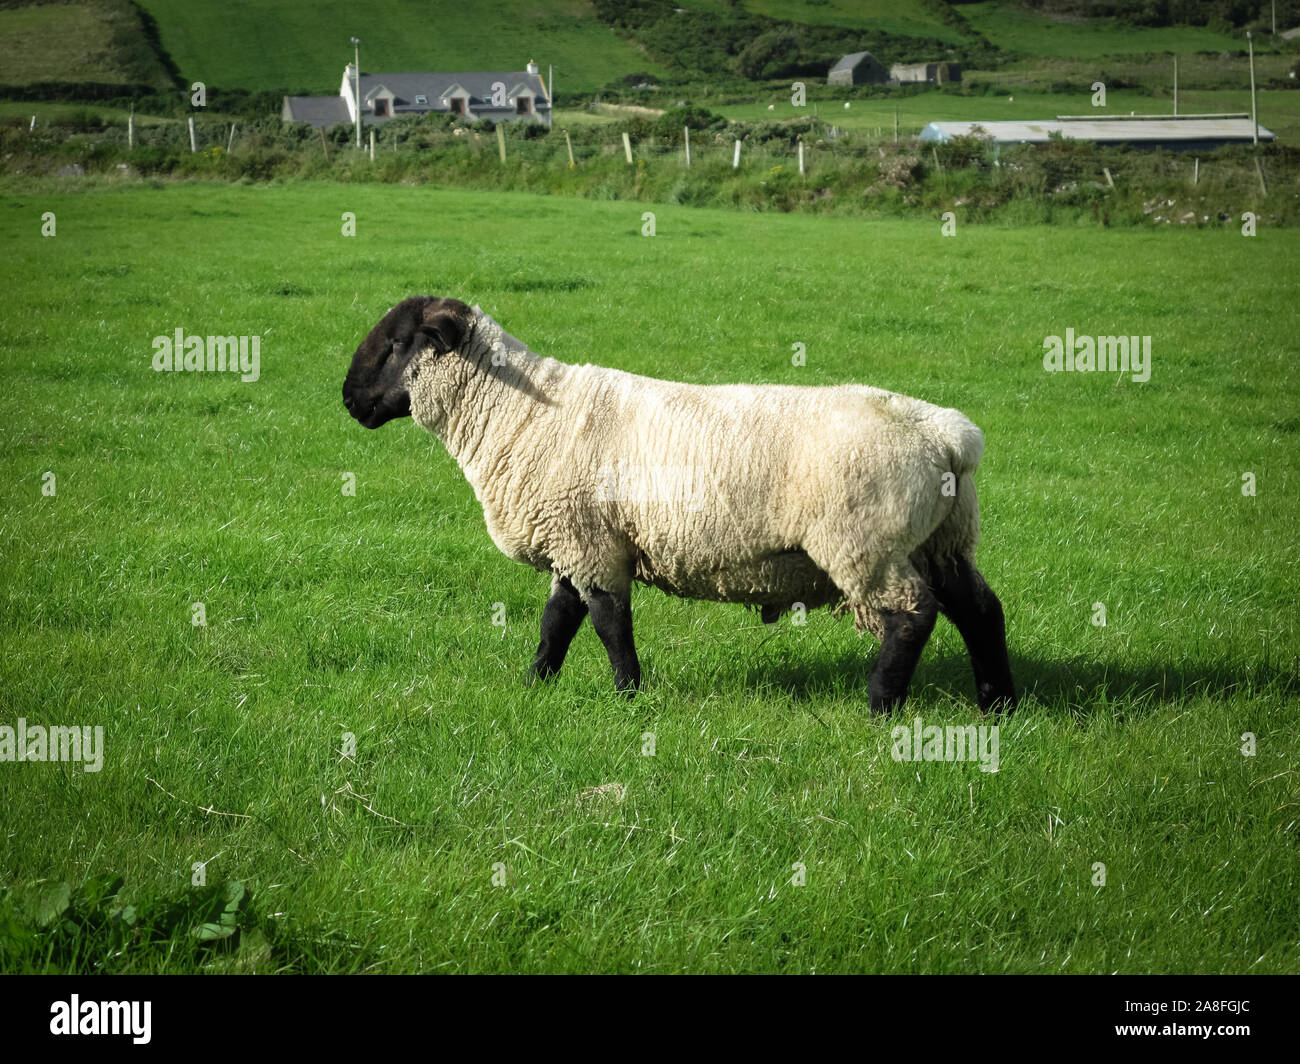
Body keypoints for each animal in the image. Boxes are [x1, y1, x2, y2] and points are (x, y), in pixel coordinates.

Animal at [342, 296, 1017, 713]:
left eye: (398, 344)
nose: (348, 400)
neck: (522, 413)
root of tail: (950, 436)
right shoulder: (575, 538)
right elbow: (558, 620)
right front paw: (537, 681)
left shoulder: (590, 543)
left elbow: (609, 622)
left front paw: (627, 695)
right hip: (941, 540)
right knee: (981, 609)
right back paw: (999, 704)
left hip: (865, 544)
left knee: (911, 617)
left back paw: (881, 705)